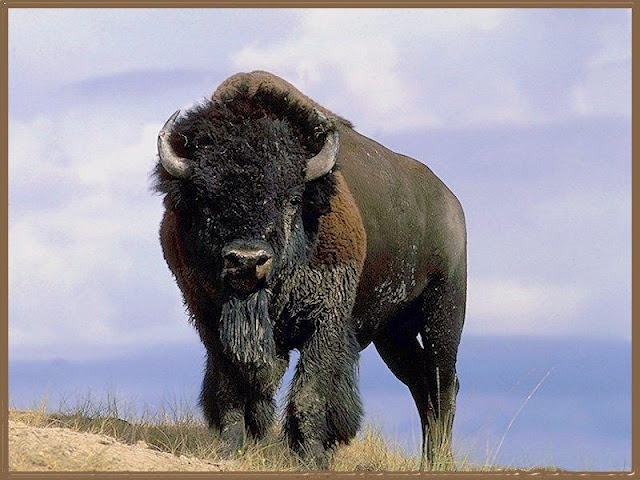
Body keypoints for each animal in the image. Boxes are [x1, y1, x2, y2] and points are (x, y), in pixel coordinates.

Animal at [153, 71, 466, 469]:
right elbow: (231, 386)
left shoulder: (325, 322)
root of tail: (449, 201)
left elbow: (310, 391)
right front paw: (232, 448)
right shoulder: (211, 322)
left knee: (443, 381)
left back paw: (440, 461)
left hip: (444, 307)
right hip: (392, 332)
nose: (247, 259)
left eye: (290, 200)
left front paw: (312, 456)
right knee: (419, 382)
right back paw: (428, 460)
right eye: (207, 200)